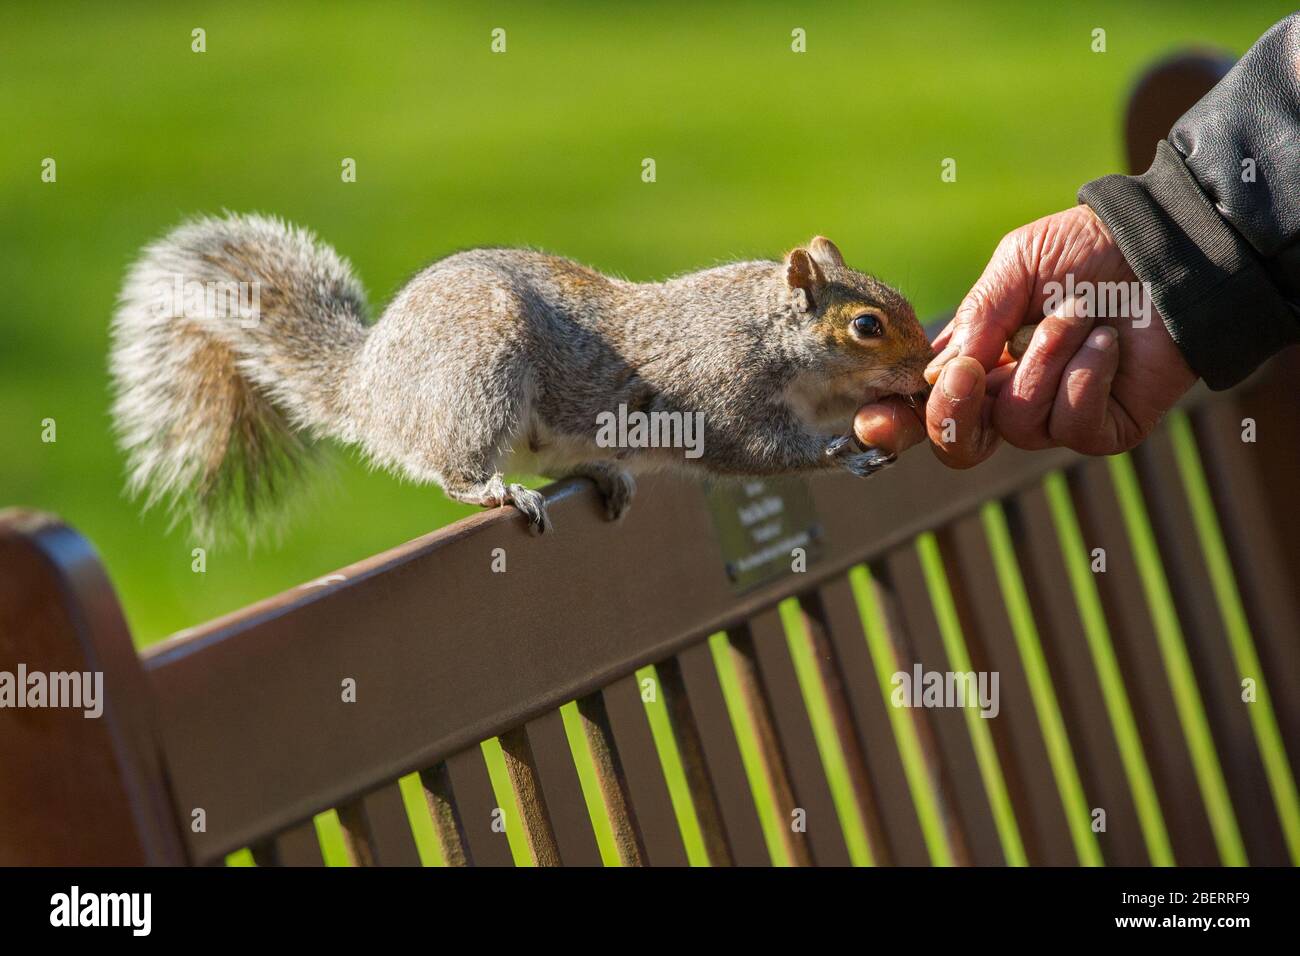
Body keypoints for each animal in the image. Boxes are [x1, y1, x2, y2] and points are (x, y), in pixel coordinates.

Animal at [109, 214, 933, 539]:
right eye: (866, 326)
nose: (925, 372)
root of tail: (369, 385)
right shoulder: (720, 388)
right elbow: (753, 451)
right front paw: (839, 453)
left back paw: (603, 475)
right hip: (475, 378)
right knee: (452, 468)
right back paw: (493, 491)